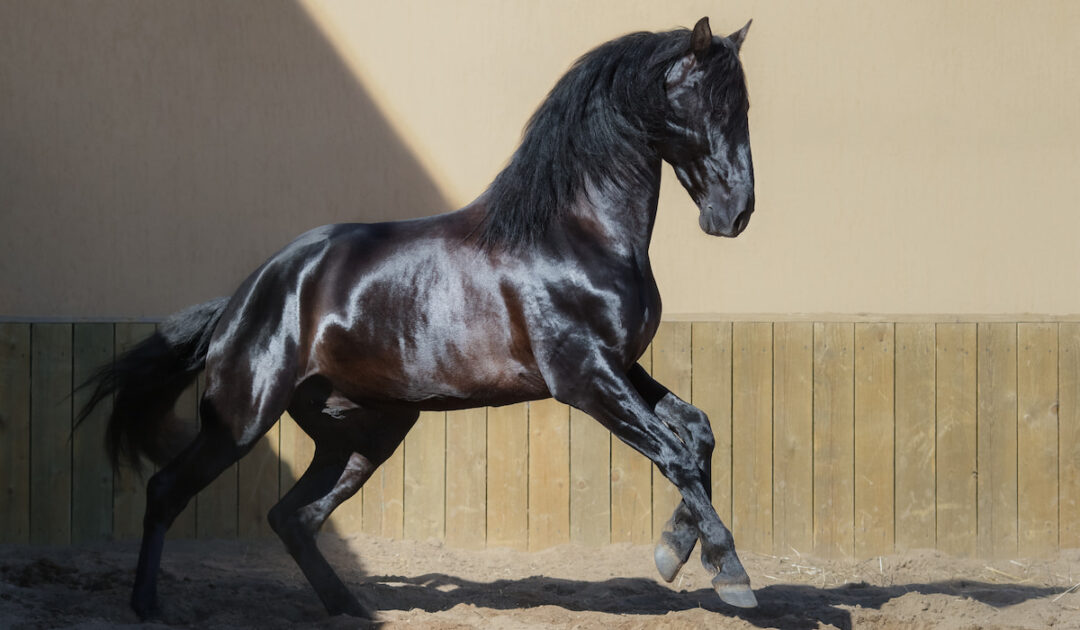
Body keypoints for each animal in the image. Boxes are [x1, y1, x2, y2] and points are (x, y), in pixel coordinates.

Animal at [77, 16, 756, 620]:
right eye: (708, 104)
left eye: (744, 107)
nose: (736, 214)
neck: (577, 235)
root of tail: (244, 299)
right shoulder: (585, 378)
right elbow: (674, 453)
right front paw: (729, 573)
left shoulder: (619, 366)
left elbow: (698, 431)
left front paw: (675, 553)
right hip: (241, 420)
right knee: (169, 491)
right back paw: (147, 606)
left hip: (363, 433)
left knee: (293, 517)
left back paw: (350, 608)